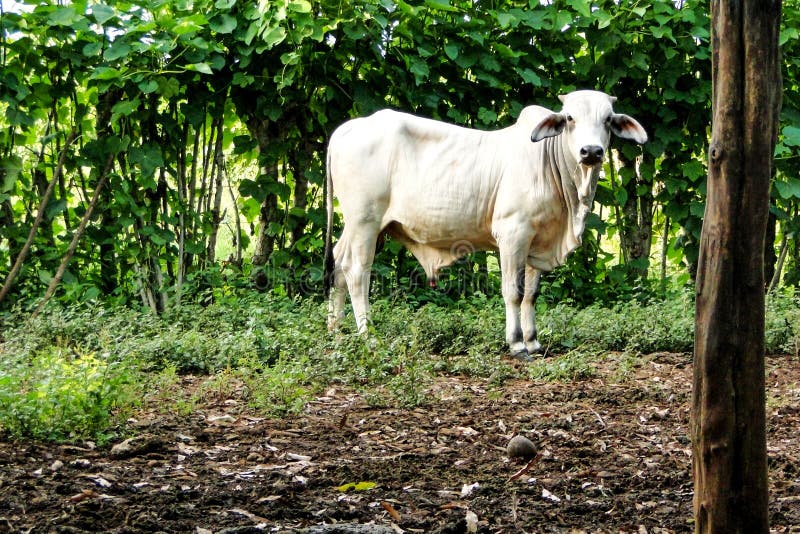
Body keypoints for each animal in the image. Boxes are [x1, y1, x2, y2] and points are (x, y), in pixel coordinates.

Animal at [323, 90, 647, 361]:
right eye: (570, 118)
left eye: (608, 119)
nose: (590, 151)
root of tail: (346, 129)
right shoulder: (513, 234)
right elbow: (513, 291)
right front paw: (516, 344)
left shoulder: (537, 242)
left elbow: (531, 294)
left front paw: (533, 342)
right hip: (365, 221)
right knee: (357, 273)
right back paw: (368, 336)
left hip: (360, 226)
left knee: (338, 265)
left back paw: (336, 334)